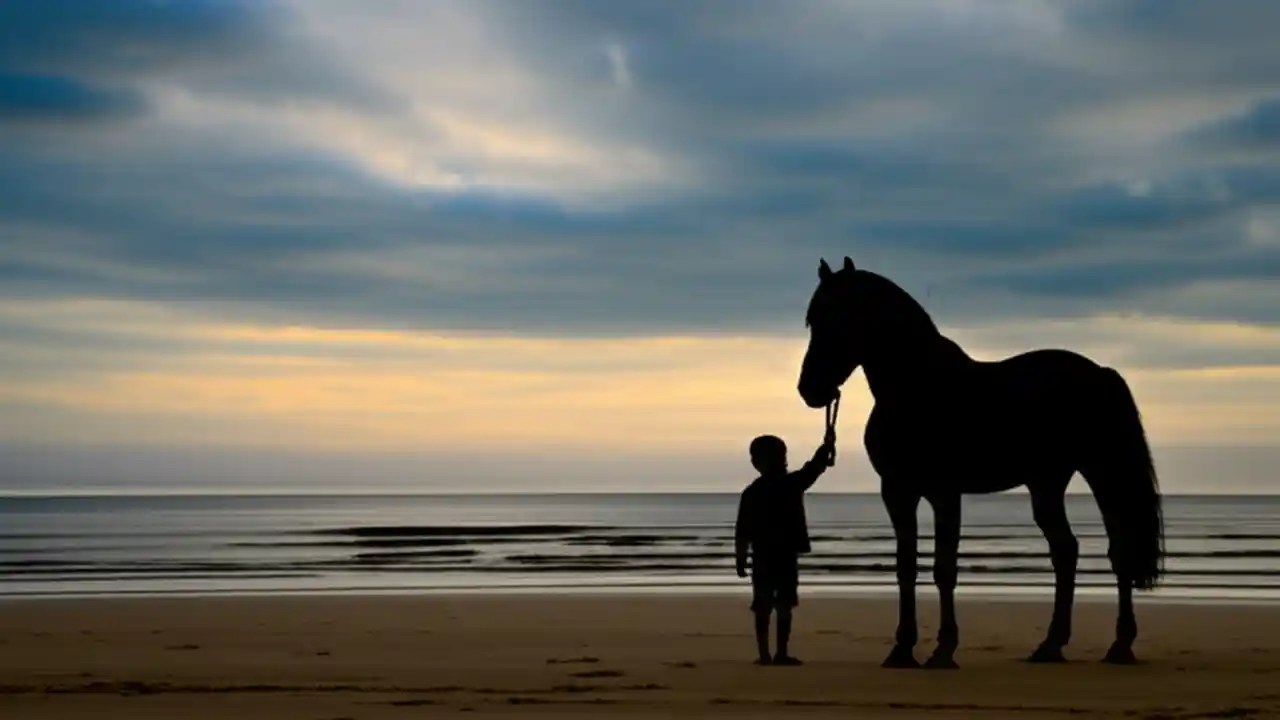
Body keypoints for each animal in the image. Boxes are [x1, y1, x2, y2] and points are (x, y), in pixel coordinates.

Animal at [797, 257, 1163, 669]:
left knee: (1118, 550)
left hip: (1102, 473)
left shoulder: (944, 493)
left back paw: (1120, 645)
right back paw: (1051, 645)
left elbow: (944, 569)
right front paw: (902, 649)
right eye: (812, 320)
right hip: (1047, 482)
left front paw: (943, 650)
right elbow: (906, 567)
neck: (917, 389)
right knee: (1066, 551)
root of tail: (1100, 373)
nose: (810, 389)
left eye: (841, 317)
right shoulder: (897, 492)